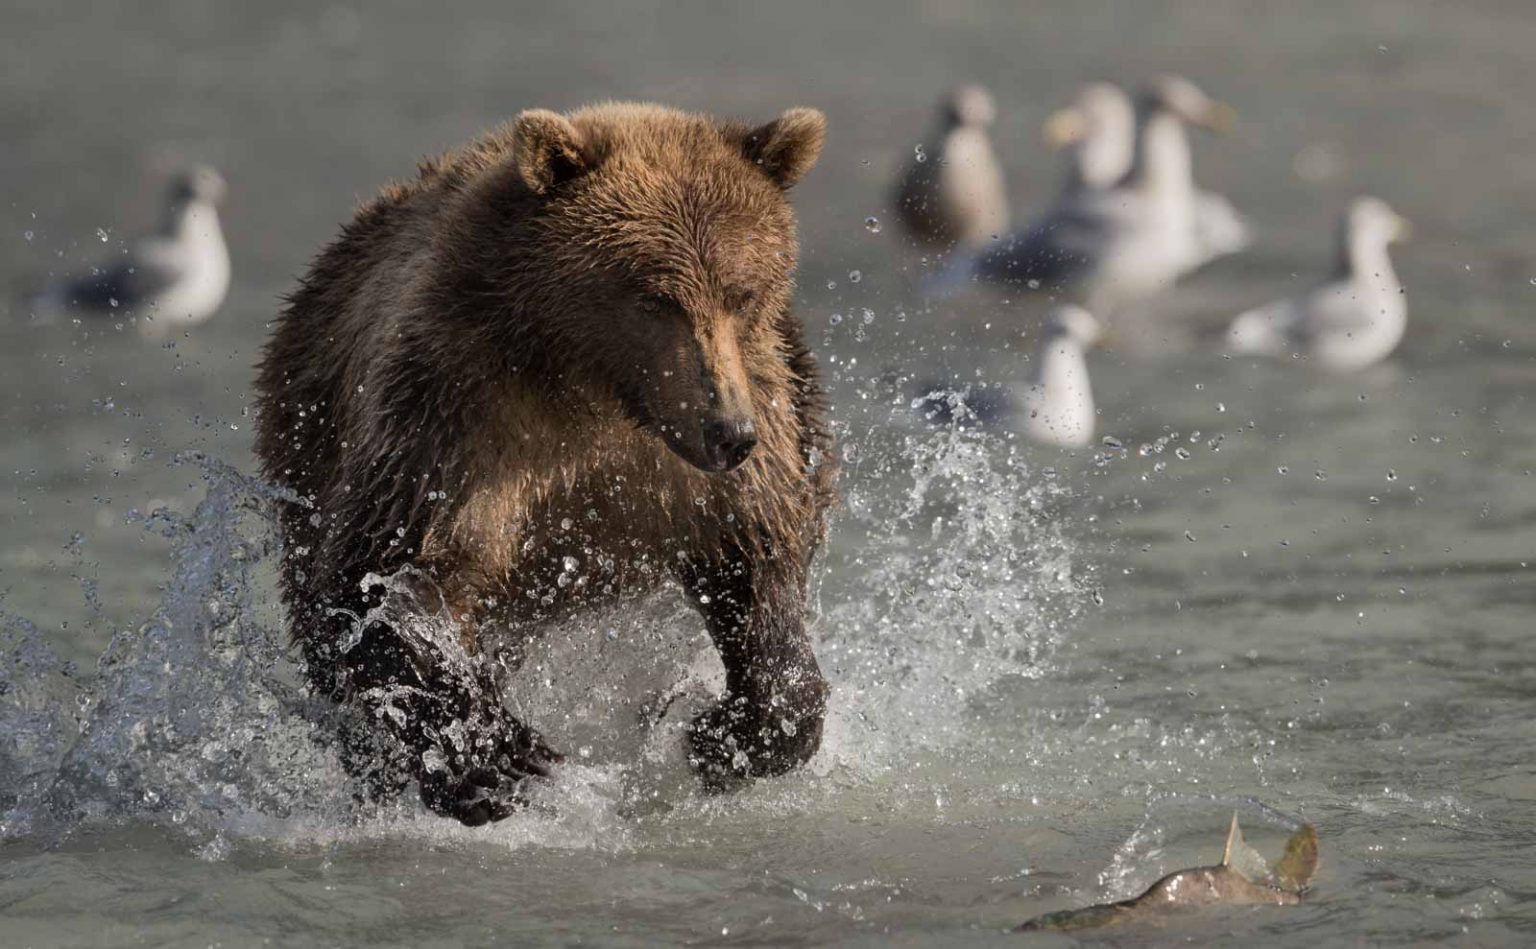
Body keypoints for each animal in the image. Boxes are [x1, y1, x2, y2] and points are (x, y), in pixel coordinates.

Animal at [253, 102, 836, 826]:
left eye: (743, 292)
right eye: (657, 297)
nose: (728, 431)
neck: (598, 388)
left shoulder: (733, 435)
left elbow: (757, 557)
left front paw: (719, 735)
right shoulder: (453, 416)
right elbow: (377, 578)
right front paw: (497, 757)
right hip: (308, 440)